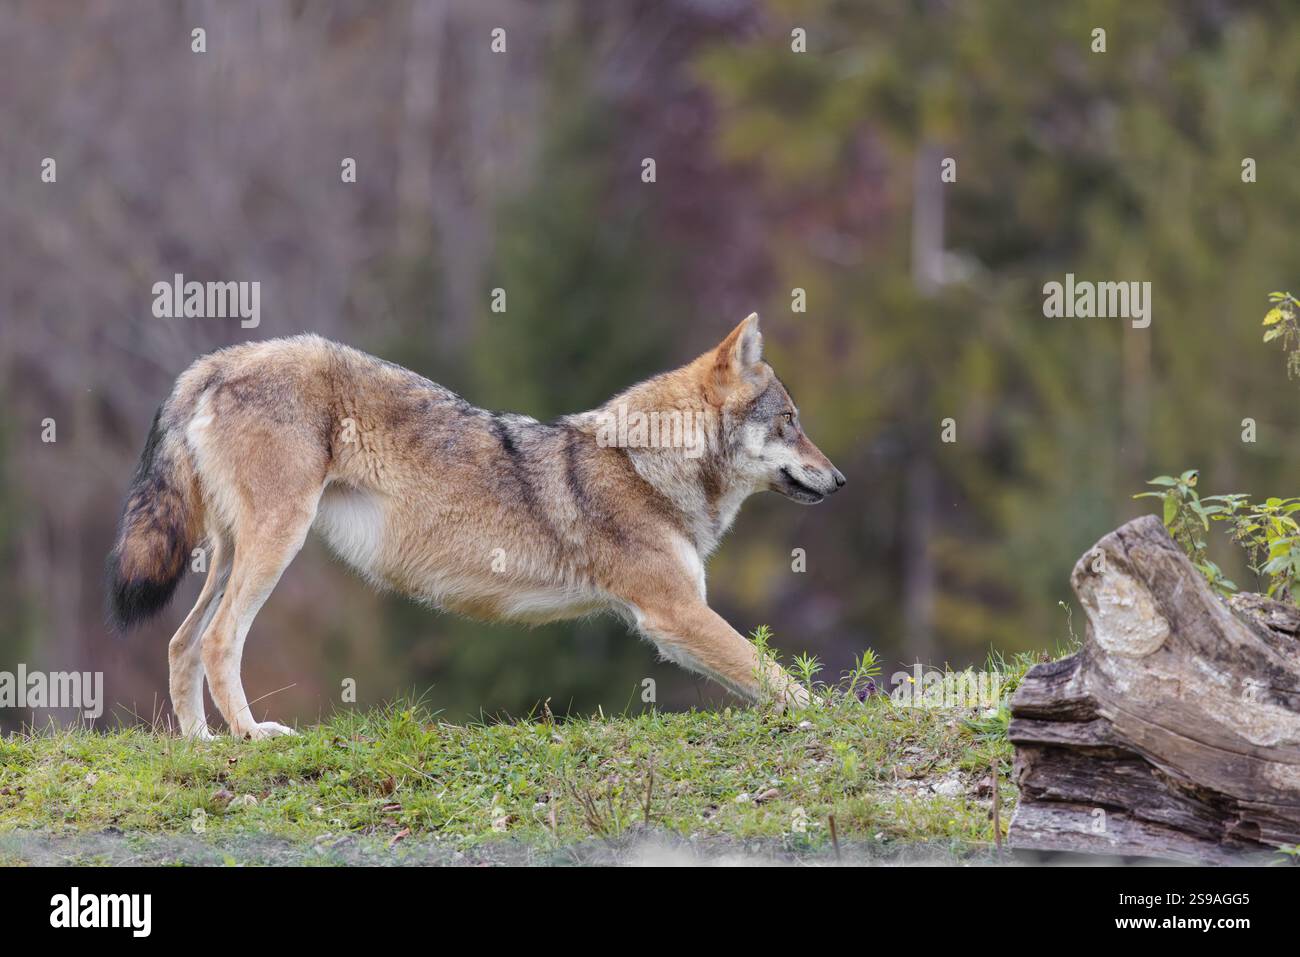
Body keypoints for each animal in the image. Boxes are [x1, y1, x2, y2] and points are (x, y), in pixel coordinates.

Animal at [107, 314, 846, 739]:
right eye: (792, 422)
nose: (841, 480)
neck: (646, 462)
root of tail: (217, 361)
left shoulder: (676, 614)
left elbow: (766, 679)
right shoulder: (674, 612)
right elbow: (779, 678)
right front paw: (839, 712)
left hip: (232, 553)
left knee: (179, 641)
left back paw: (203, 745)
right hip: (274, 545)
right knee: (217, 640)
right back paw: (252, 736)